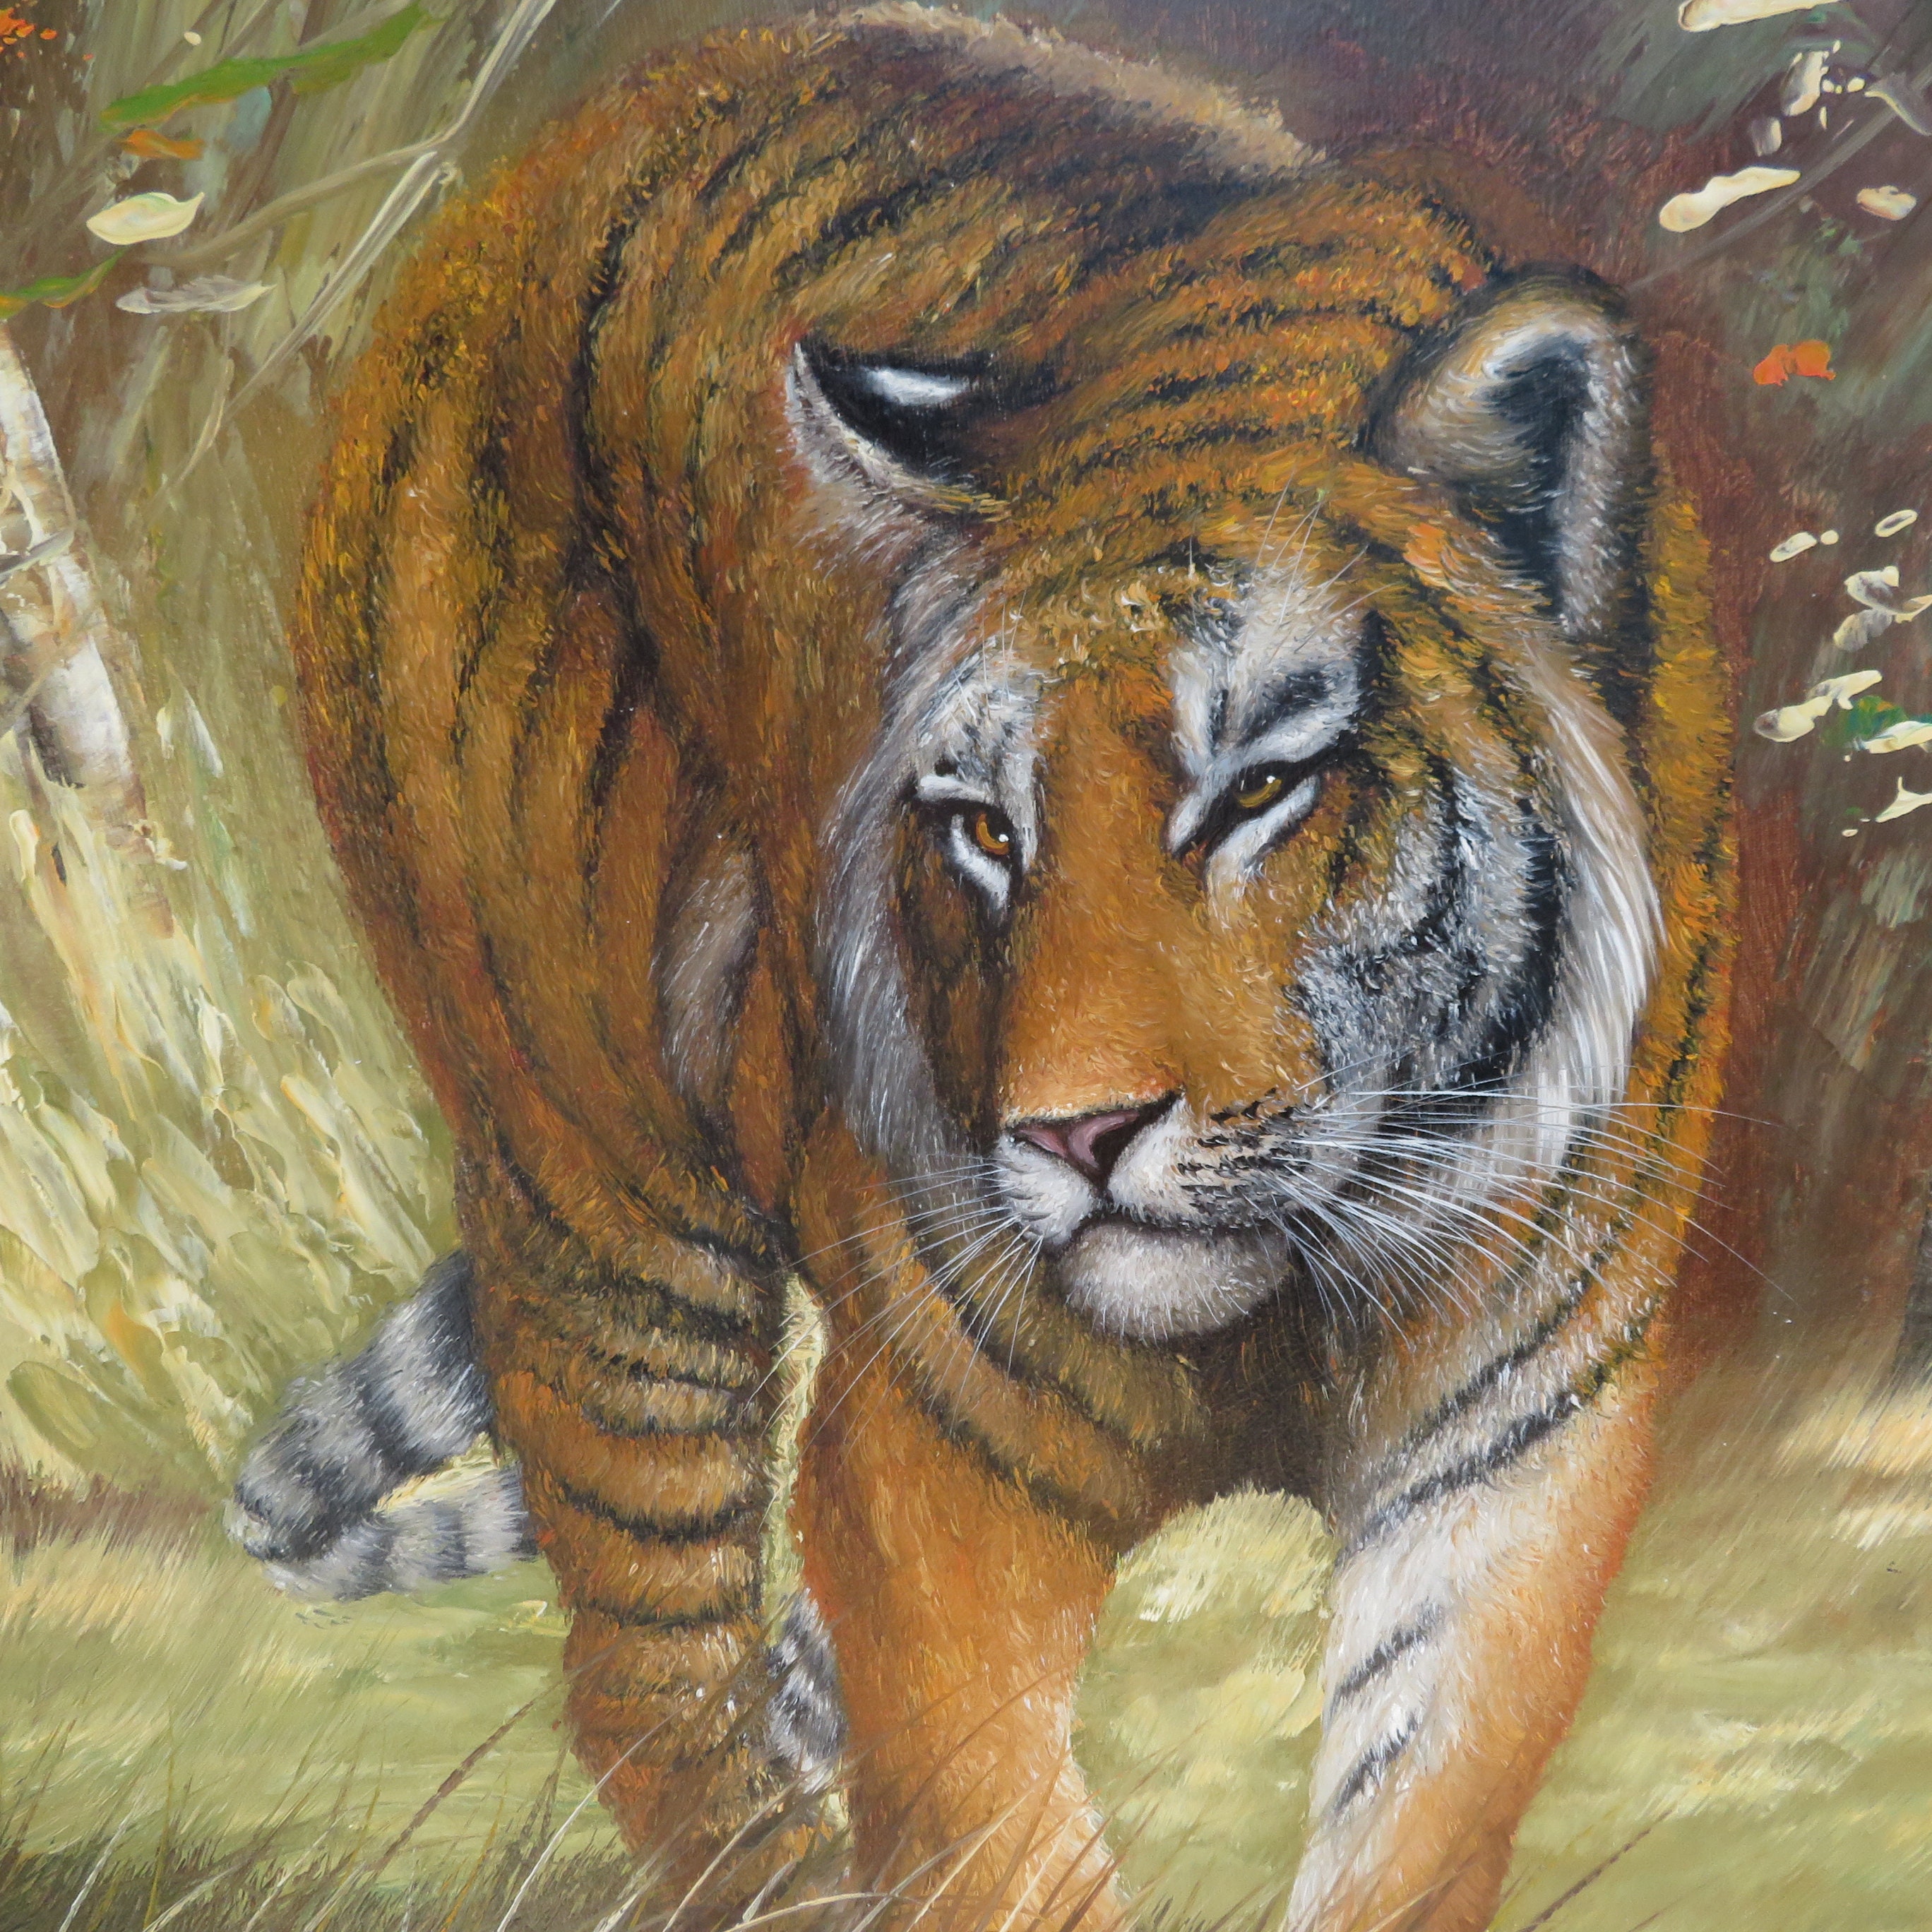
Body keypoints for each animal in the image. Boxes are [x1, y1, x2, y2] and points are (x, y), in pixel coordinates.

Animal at [239, 6, 1735, 1928]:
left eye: (1258, 786)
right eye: (982, 826)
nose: (1075, 1136)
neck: (1287, 1309)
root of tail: (524, 181)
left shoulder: (1516, 1445)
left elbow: (1415, 1812)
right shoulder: (924, 1467)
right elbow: (998, 1837)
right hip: (602, 1182)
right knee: (652, 1675)